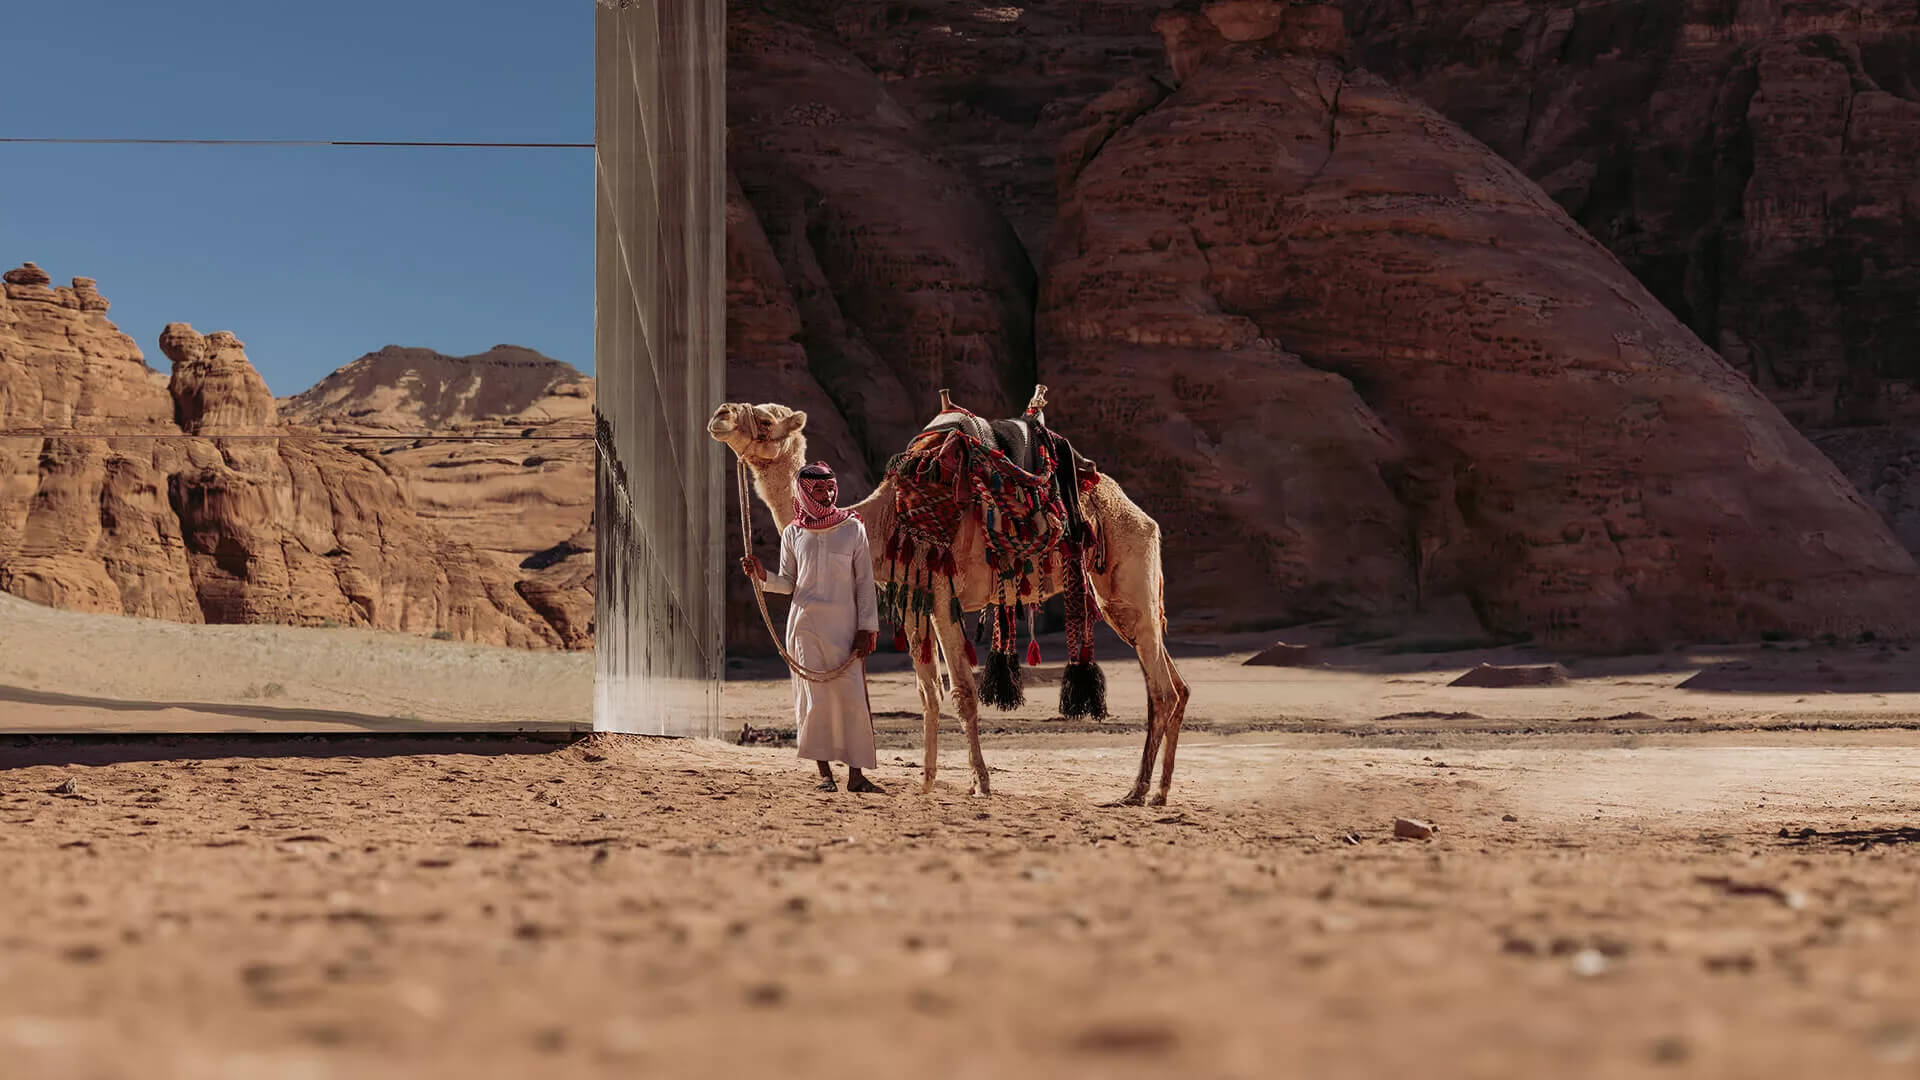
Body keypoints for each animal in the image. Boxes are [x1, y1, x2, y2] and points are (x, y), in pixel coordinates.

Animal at [709, 398, 1192, 806]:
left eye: (765, 419)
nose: (720, 414)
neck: (882, 521)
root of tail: (1144, 517)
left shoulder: (941, 593)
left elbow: (962, 692)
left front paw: (981, 783)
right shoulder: (912, 601)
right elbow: (928, 692)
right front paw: (926, 783)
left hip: (1127, 576)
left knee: (1162, 688)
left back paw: (1140, 792)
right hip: (1122, 598)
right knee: (1174, 685)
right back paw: (1158, 790)